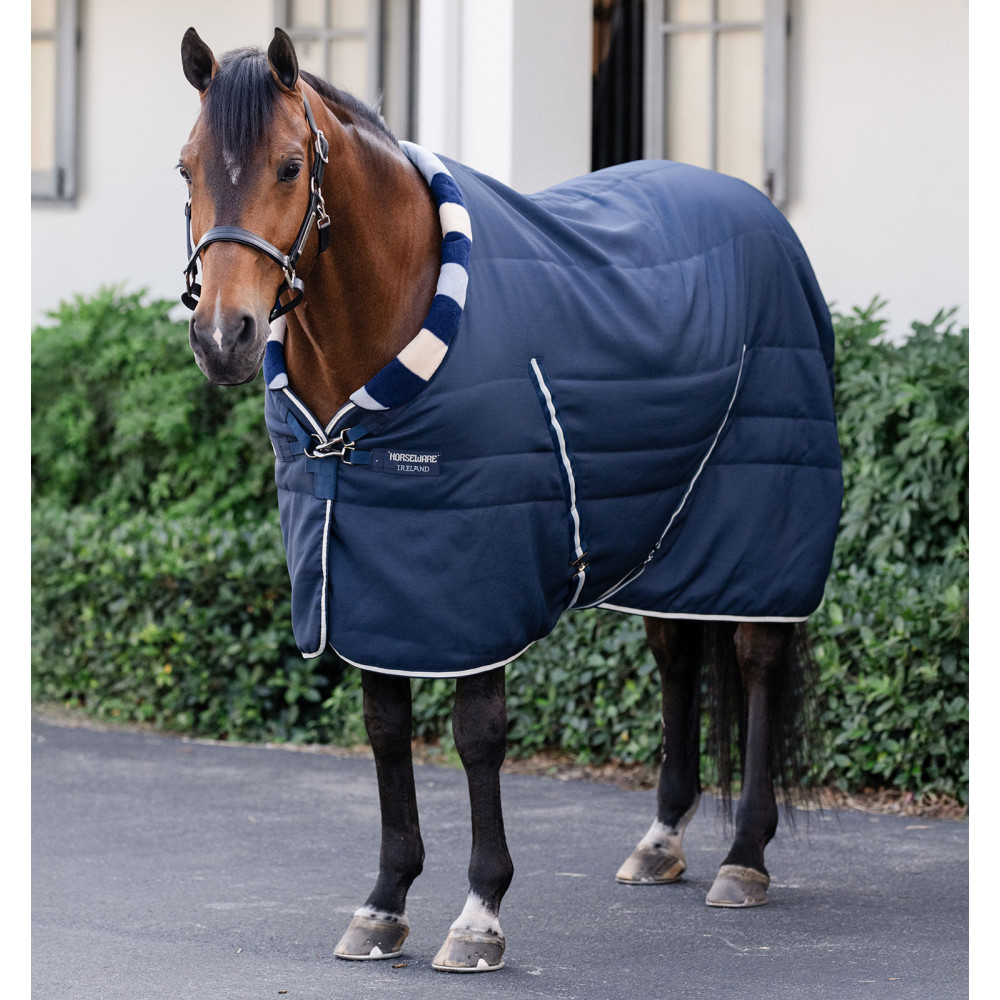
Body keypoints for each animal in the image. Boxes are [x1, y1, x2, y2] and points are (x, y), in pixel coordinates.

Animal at [178, 27, 842, 973]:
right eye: (185, 166)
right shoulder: (368, 570)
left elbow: (479, 733)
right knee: (677, 654)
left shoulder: (473, 579)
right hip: (670, 536)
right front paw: (383, 903)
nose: (222, 337)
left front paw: (479, 914)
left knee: (755, 659)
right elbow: (386, 727)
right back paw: (661, 840)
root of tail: (762, 214)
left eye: (290, 165)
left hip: (759, 521)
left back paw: (745, 856)